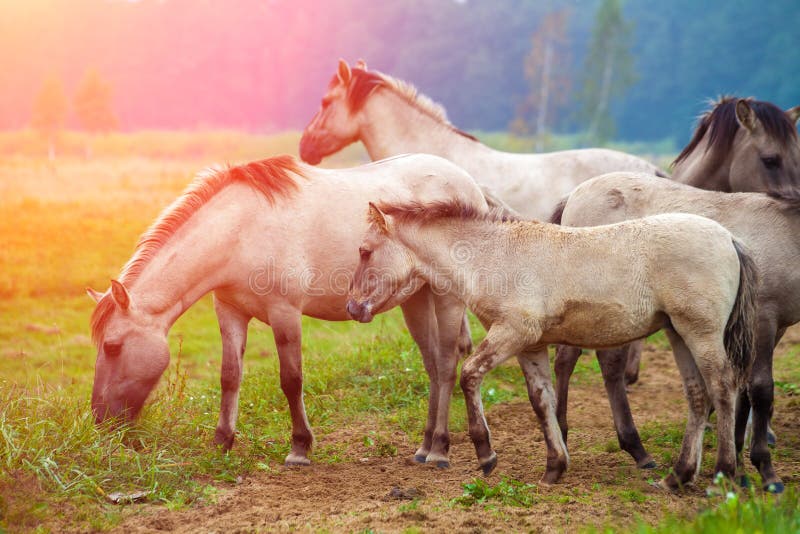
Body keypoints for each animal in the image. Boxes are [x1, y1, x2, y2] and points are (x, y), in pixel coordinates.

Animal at [87, 153, 489, 468]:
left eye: (112, 346)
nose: (100, 420)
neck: (241, 232)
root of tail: (470, 185)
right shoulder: (229, 311)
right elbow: (229, 376)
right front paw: (221, 441)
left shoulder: (285, 314)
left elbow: (291, 380)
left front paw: (299, 447)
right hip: (414, 300)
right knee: (433, 366)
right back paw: (424, 446)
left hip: (447, 299)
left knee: (447, 364)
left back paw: (440, 449)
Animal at [347, 199, 757, 489]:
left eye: (365, 250)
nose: (352, 307)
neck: (494, 256)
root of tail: (730, 238)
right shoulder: (530, 347)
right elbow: (541, 400)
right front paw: (554, 468)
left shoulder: (513, 332)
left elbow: (469, 374)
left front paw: (486, 454)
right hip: (678, 333)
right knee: (697, 395)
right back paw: (678, 476)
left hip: (700, 332)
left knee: (722, 387)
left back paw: (723, 474)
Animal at [551, 172, 800, 492]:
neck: (785, 230)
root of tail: (575, 193)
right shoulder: (763, 320)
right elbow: (760, 389)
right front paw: (764, 470)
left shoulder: (771, 328)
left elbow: (745, 390)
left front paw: (742, 467)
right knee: (567, 360)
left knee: (608, 366)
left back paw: (637, 449)